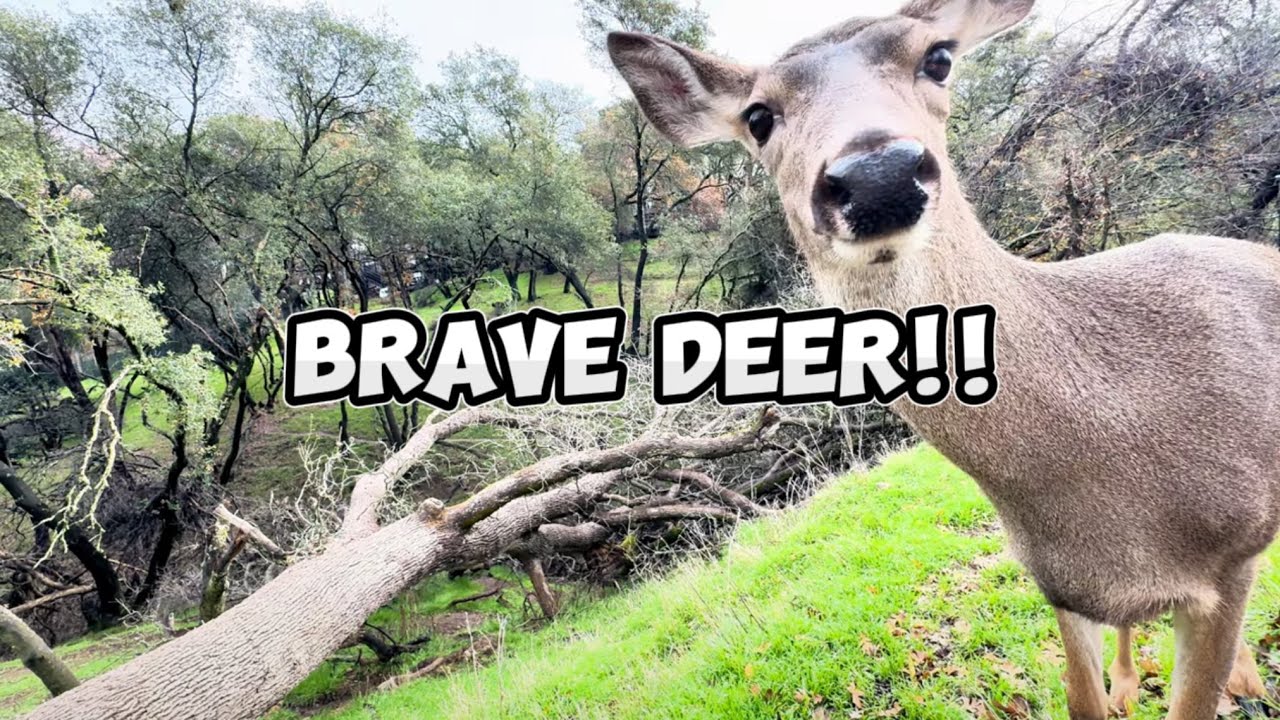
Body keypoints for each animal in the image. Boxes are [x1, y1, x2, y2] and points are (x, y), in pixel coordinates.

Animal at [608, 1, 1280, 718]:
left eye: (938, 58)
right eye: (758, 116)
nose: (877, 174)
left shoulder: (1235, 549)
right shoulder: (1060, 586)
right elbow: (1083, 698)